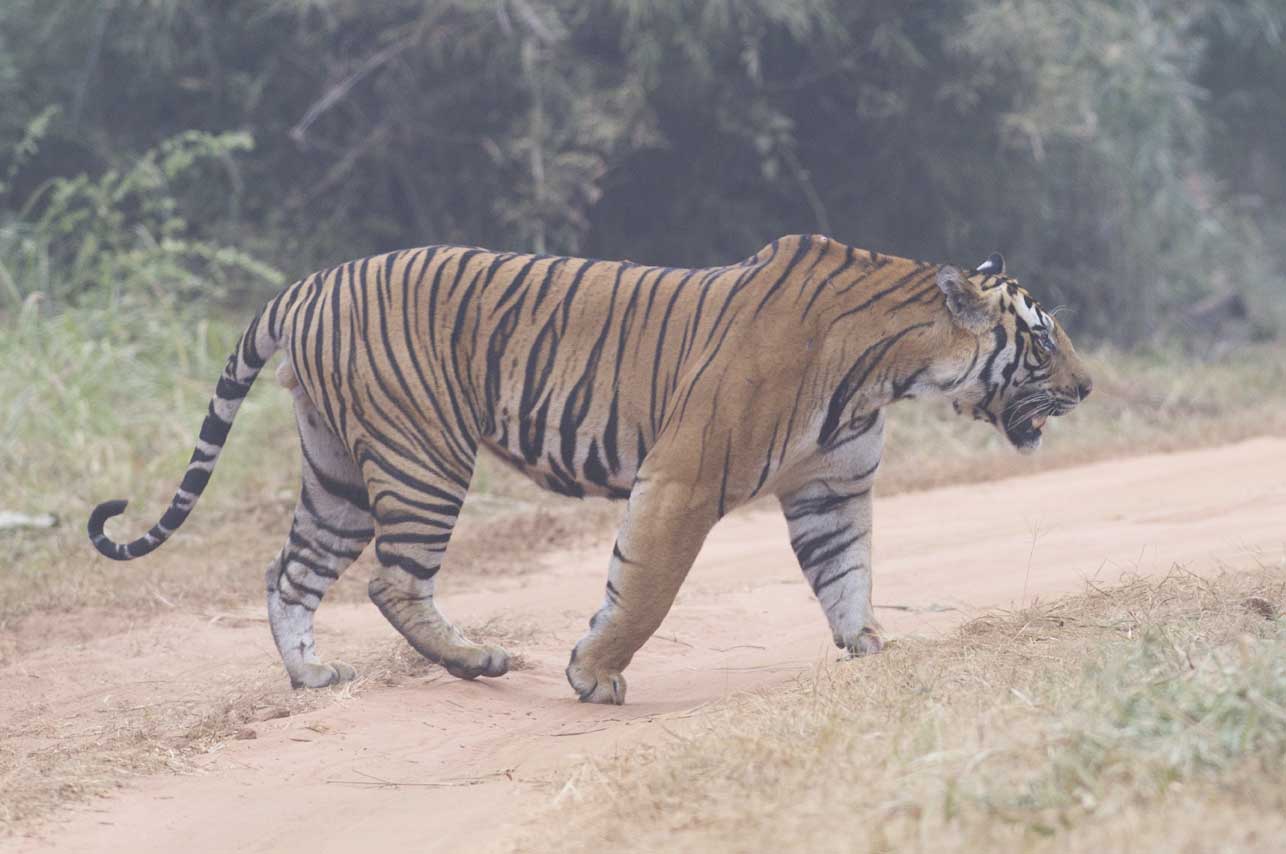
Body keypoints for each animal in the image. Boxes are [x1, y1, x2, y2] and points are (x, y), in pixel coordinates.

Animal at [88, 235, 1092, 704]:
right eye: (1042, 340)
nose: (1087, 387)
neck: (895, 365)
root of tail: (307, 284)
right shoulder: (683, 479)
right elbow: (644, 588)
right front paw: (593, 676)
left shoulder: (831, 489)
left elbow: (847, 577)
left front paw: (871, 651)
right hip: (424, 454)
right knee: (390, 580)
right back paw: (477, 660)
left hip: (336, 470)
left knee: (291, 572)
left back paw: (313, 679)